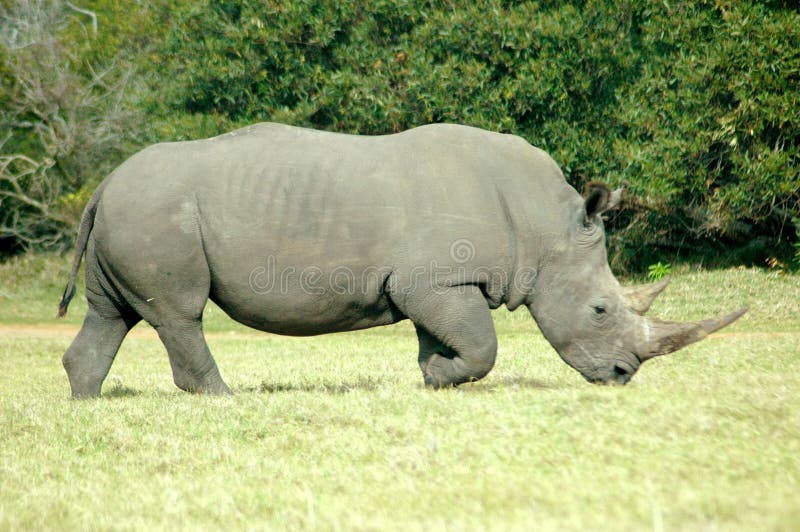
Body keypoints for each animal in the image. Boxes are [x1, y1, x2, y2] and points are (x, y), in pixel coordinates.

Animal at [58, 123, 746, 397]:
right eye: (601, 309)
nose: (623, 376)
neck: (544, 225)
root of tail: (105, 181)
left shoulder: (436, 281)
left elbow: (447, 340)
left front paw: (433, 378)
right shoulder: (439, 280)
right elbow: (484, 346)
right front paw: (444, 379)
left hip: (133, 211)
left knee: (112, 314)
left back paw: (87, 403)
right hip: (156, 212)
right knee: (180, 312)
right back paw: (225, 399)